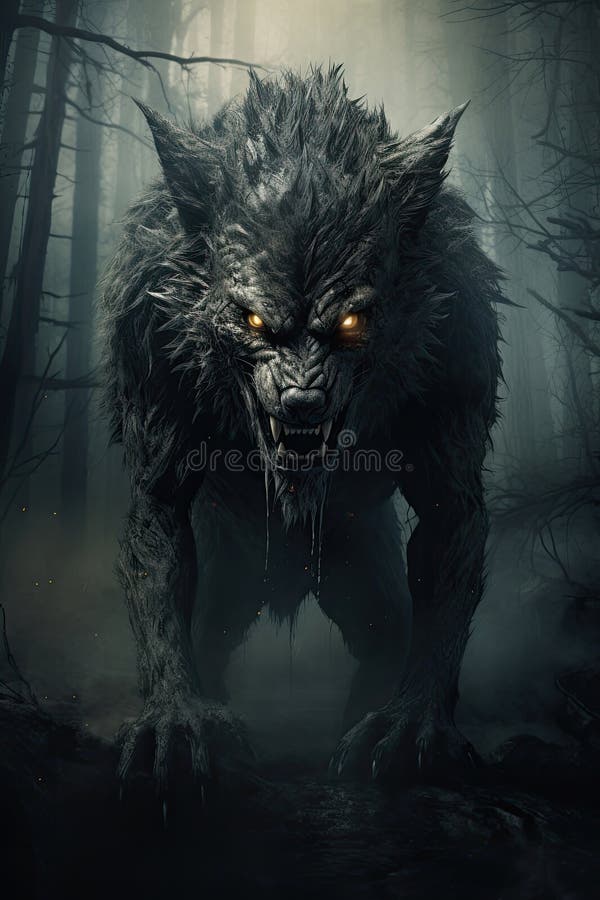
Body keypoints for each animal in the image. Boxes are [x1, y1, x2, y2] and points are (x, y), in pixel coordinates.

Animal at [101, 66, 502, 791]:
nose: (302, 401)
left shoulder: (458, 343)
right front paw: (175, 721)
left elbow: (448, 523)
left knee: (385, 630)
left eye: (350, 322)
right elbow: (158, 519)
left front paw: (411, 726)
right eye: (255, 321)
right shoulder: (147, 345)